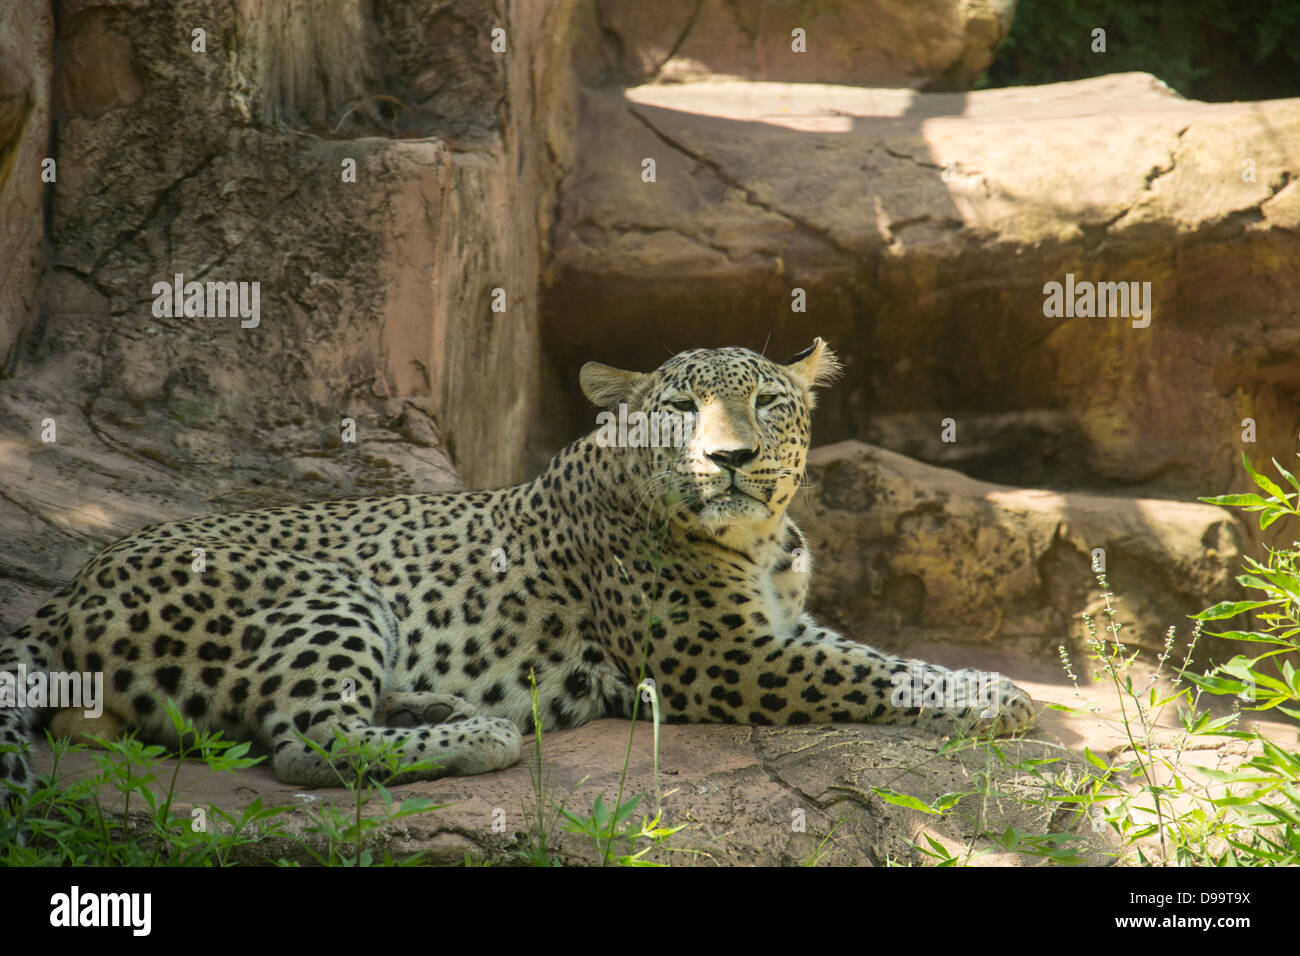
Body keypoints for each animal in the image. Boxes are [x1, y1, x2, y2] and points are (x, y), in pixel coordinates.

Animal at [0, 338, 1034, 801]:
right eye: (681, 409)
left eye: (769, 402)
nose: (731, 458)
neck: (760, 539)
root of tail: (73, 586)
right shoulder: (721, 662)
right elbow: (867, 672)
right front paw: (997, 695)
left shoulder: (782, 625)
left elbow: (875, 653)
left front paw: (985, 686)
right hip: (332, 591)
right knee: (304, 740)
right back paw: (484, 735)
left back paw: (438, 705)